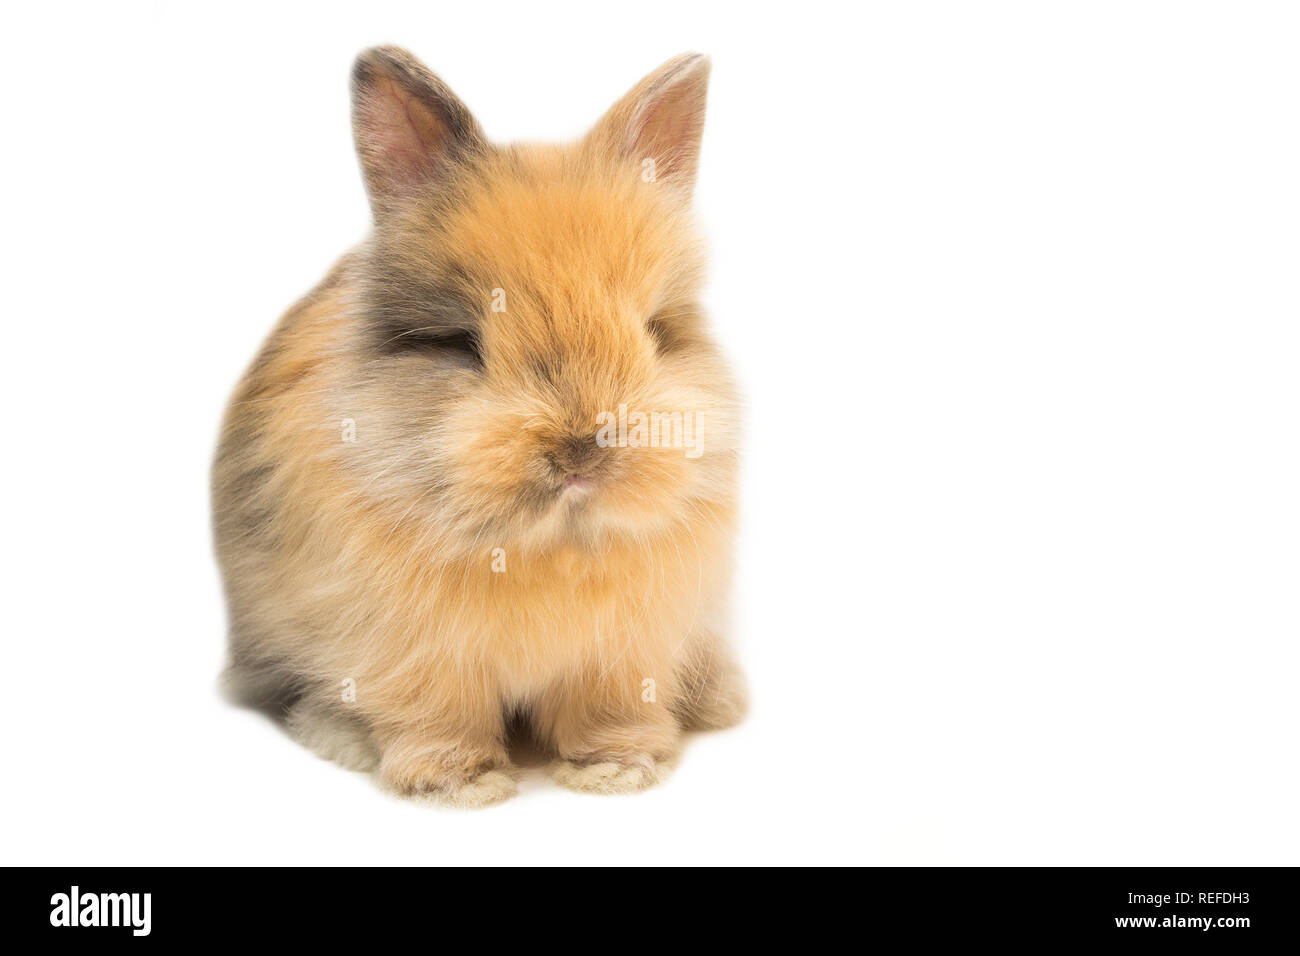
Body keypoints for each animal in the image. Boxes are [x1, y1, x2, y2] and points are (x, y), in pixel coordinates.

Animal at [212, 46, 745, 807]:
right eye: (462, 343)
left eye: (655, 330)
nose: (580, 453)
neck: (546, 545)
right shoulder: (405, 652)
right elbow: (433, 714)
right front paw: (464, 787)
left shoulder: (625, 652)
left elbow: (609, 711)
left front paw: (614, 772)